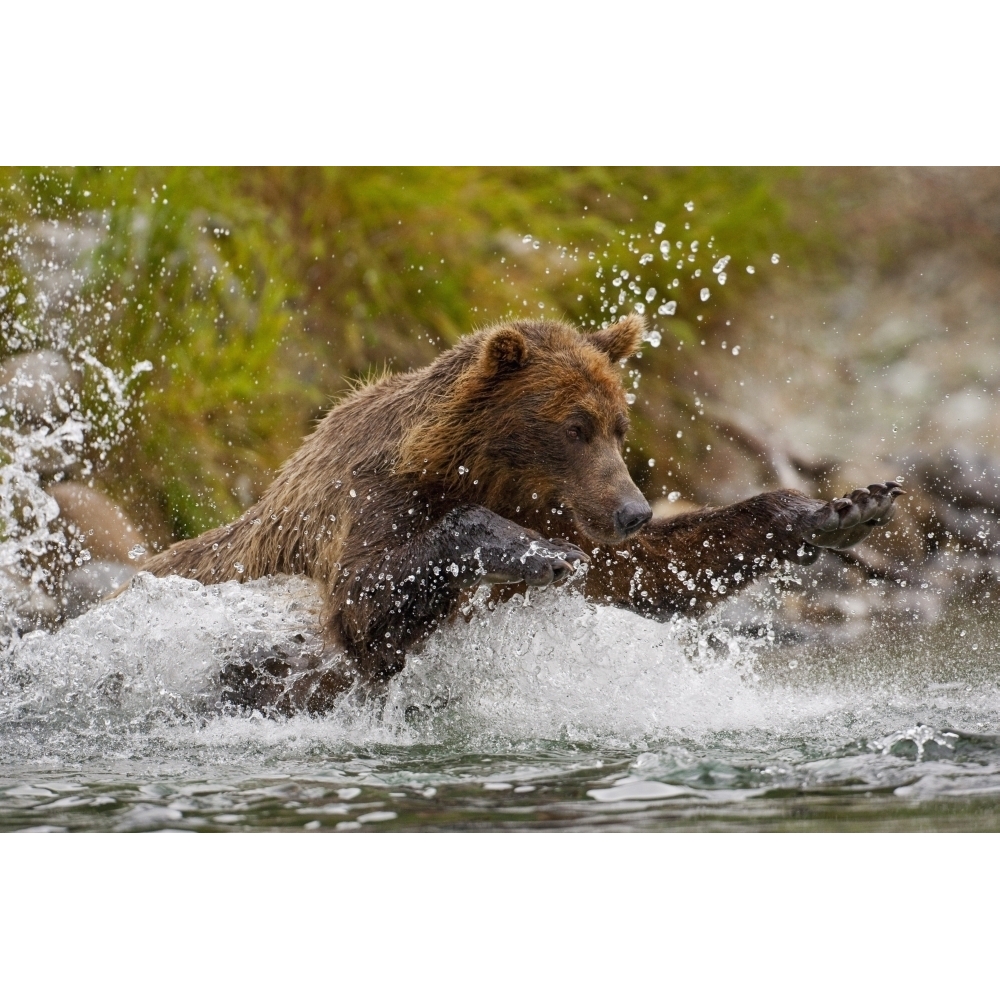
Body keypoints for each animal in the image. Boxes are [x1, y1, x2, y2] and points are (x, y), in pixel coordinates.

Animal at [139, 314, 902, 712]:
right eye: (575, 426)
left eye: (620, 426)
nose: (633, 509)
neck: (478, 472)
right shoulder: (368, 500)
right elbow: (363, 607)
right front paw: (530, 552)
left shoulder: (572, 512)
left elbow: (646, 572)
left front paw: (842, 508)